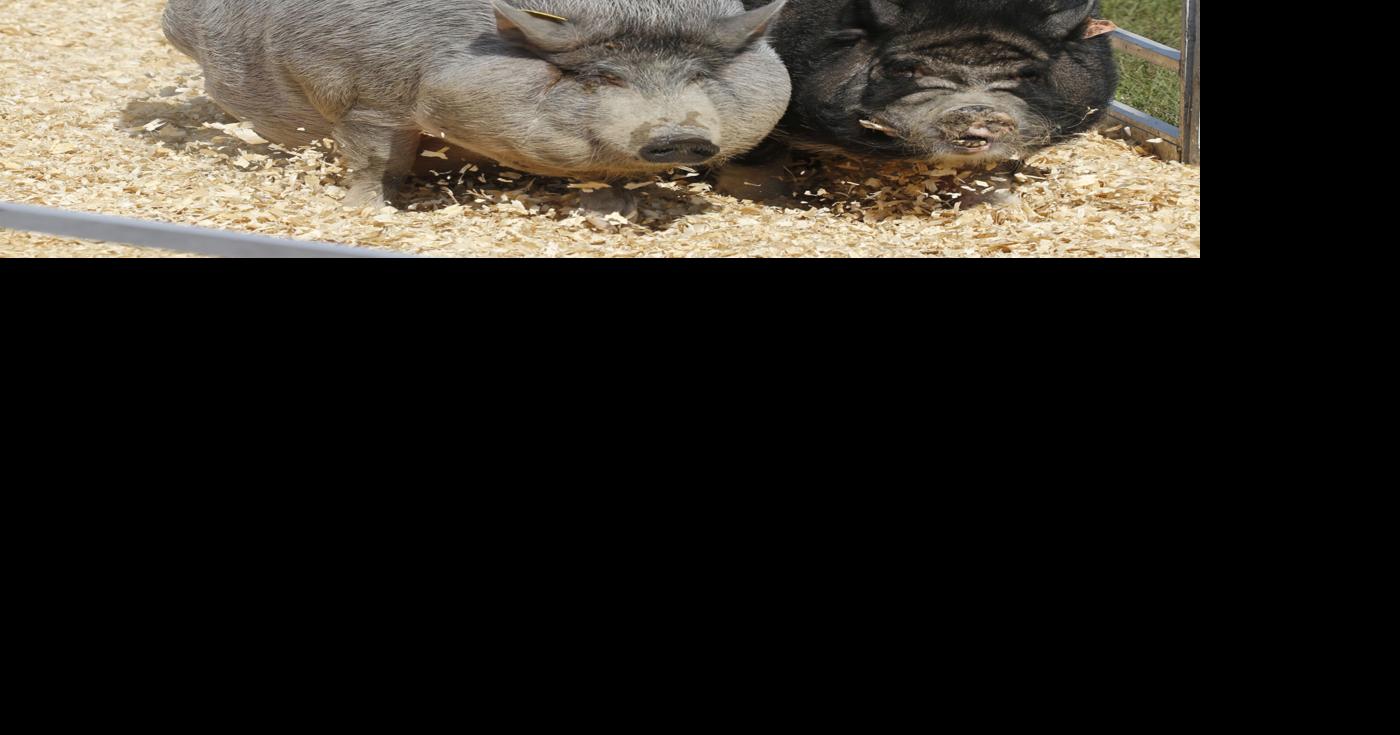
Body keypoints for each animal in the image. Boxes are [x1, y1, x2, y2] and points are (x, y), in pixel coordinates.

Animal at [162, 0, 791, 212]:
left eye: (698, 74)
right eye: (603, 76)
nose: (680, 135)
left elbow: (606, 176)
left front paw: (618, 212)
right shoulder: (369, 100)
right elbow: (376, 162)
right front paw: (368, 213)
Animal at [720, 0, 1119, 198]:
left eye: (1029, 75)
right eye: (905, 69)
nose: (976, 110)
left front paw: (1000, 200)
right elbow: (756, 153)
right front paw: (765, 199)